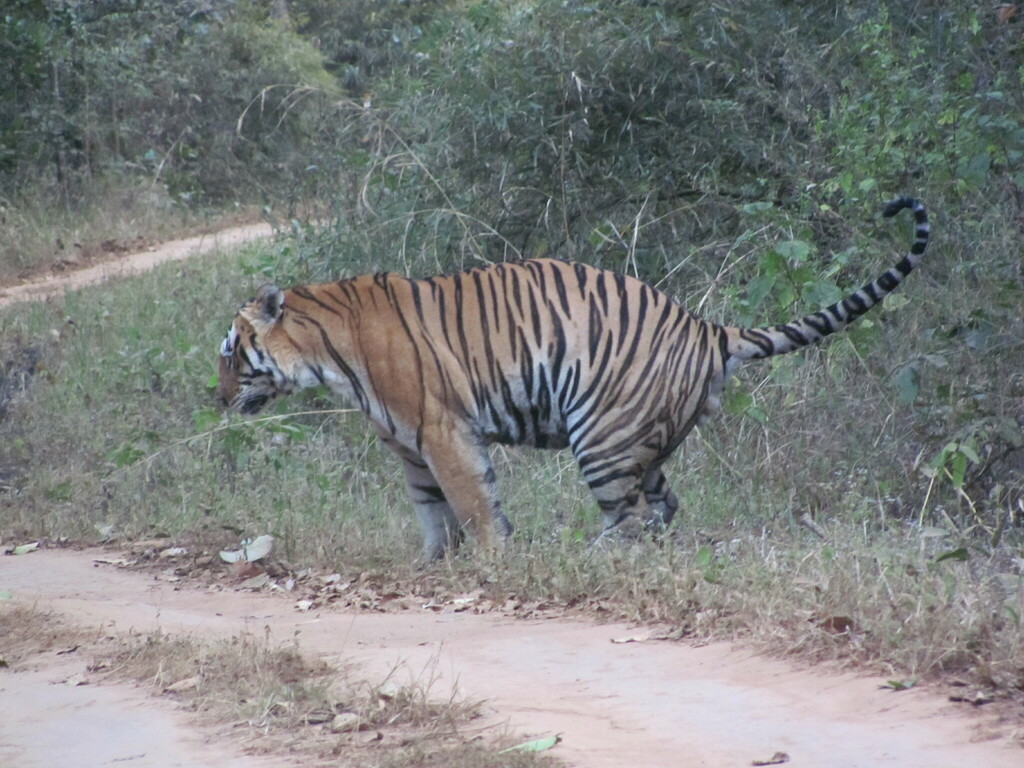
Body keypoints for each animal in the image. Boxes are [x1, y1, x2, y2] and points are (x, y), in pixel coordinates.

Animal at [217, 197, 929, 559]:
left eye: (230, 353)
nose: (216, 397)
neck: (324, 355)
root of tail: (707, 328)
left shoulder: (442, 430)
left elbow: (472, 502)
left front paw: (493, 561)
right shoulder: (411, 445)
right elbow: (431, 511)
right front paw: (432, 567)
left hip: (603, 435)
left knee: (632, 518)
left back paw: (590, 559)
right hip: (642, 441)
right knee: (662, 505)